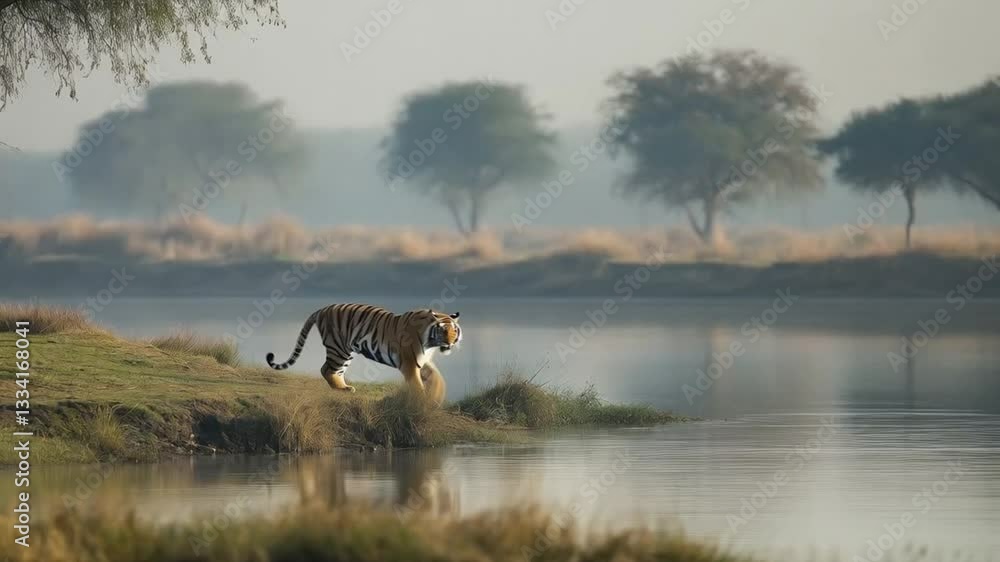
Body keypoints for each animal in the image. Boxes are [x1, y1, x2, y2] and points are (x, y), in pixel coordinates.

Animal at [265, 303, 461, 404]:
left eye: (454, 330)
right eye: (443, 330)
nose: (451, 342)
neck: (430, 343)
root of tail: (322, 309)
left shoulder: (423, 362)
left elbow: (438, 379)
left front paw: (437, 396)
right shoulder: (410, 363)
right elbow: (417, 385)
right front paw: (423, 402)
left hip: (346, 351)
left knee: (334, 371)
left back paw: (345, 388)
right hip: (339, 348)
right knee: (326, 369)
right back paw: (341, 389)